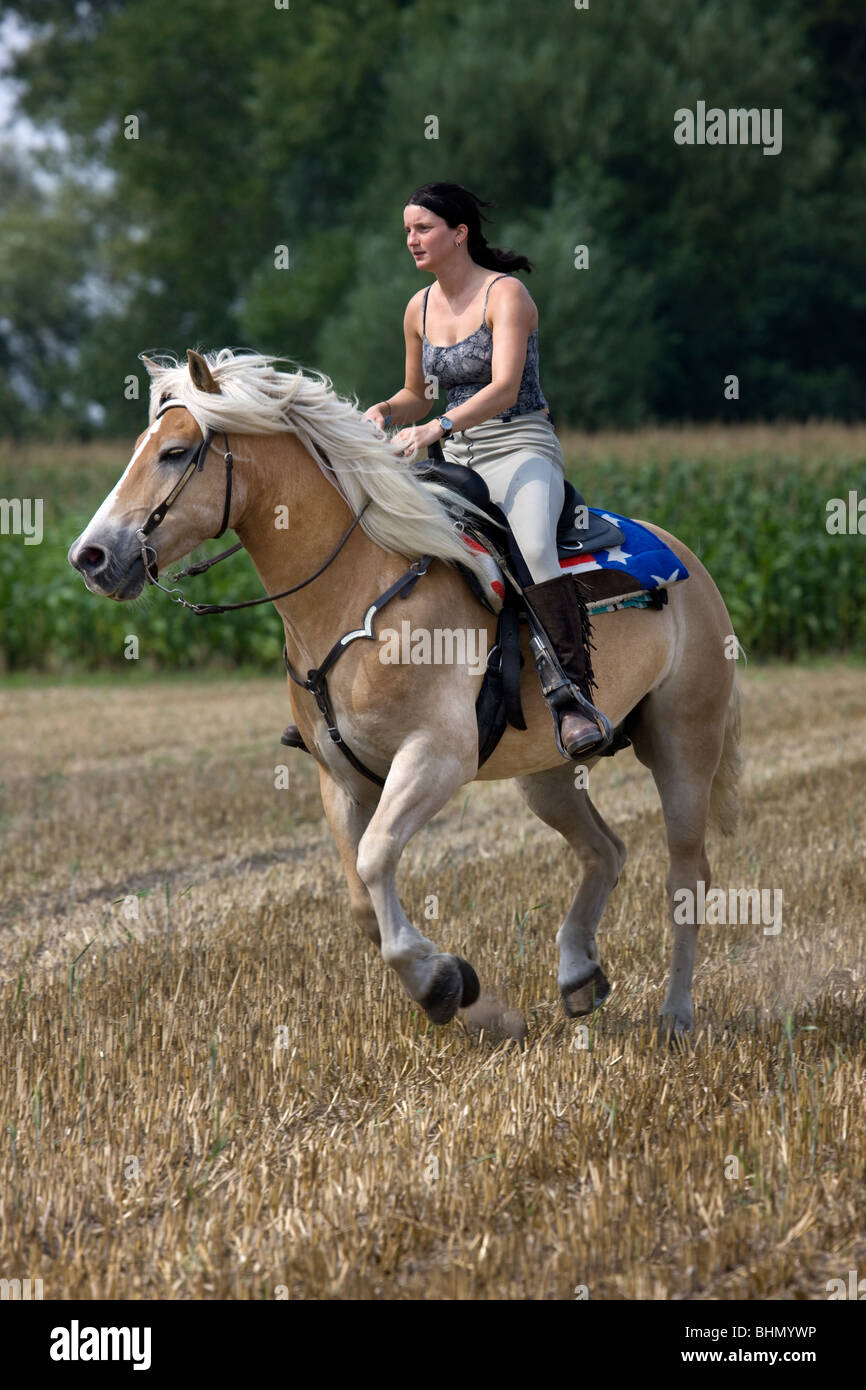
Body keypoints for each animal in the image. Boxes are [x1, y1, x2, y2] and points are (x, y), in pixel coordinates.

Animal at [68, 348, 741, 1038]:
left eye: (175, 452)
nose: (89, 556)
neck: (356, 594)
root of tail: (687, 558)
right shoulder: (341, 780)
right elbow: (360, 901)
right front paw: (472, 999)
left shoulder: (434, 757)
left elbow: (374, 859)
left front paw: (442, 984)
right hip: (547, 774)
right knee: (606, 851)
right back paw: (580, 977)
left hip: (683, 745)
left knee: (686, 876)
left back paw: (676, 1017)